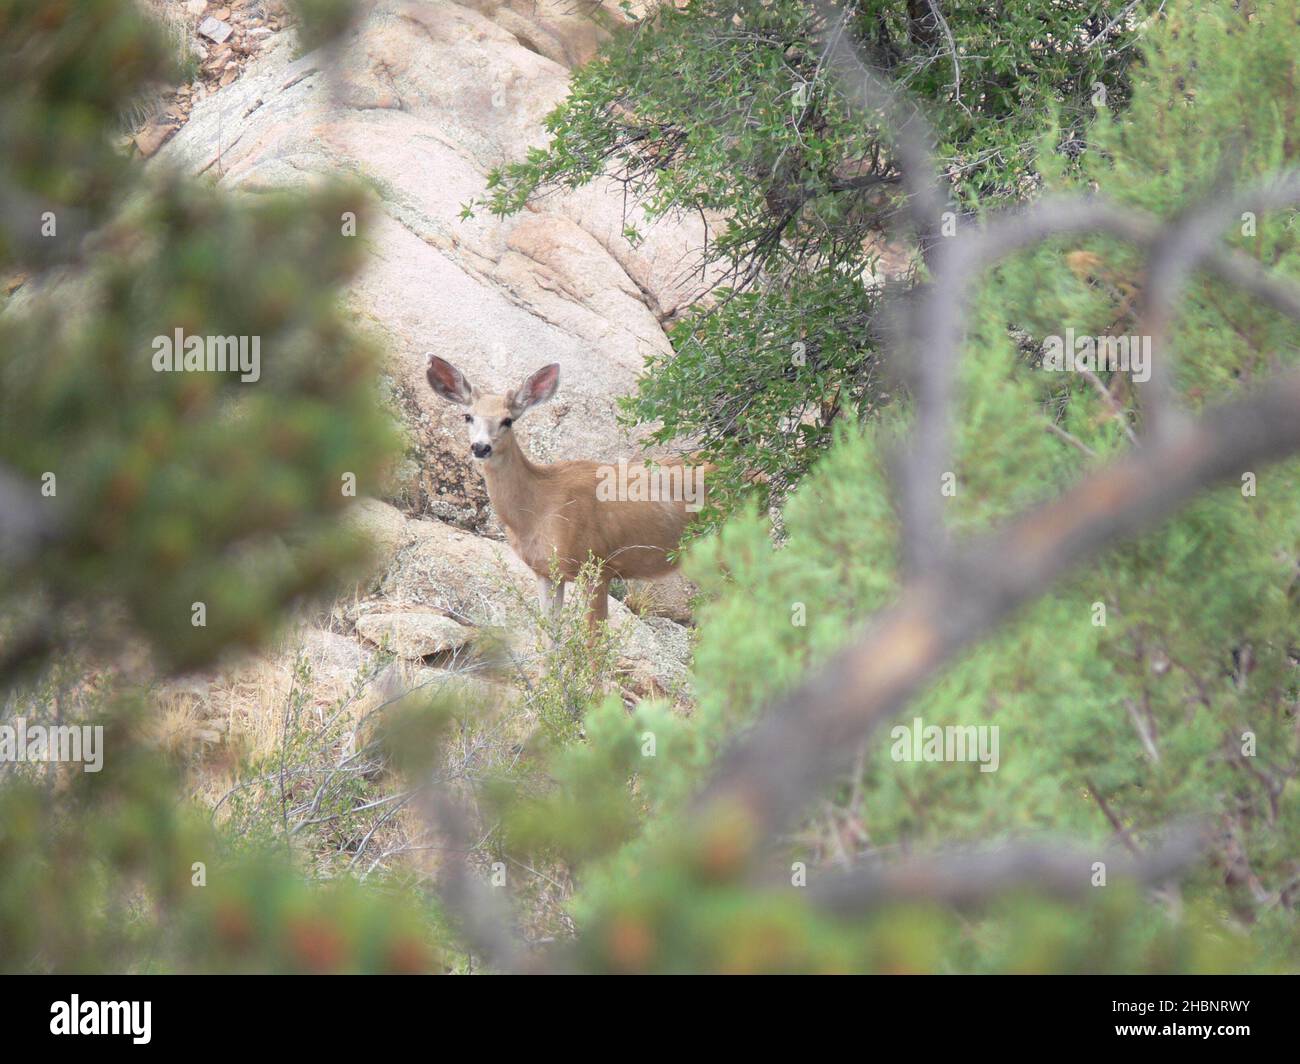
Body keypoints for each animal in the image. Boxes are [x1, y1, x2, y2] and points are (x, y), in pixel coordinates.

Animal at [425, 355, 708, 637]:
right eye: (468, 416)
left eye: (508, 420)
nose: (481, 447)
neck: (538, 509)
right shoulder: (546, 572)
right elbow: (550, 636)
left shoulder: (597, 564)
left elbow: (593, 640)